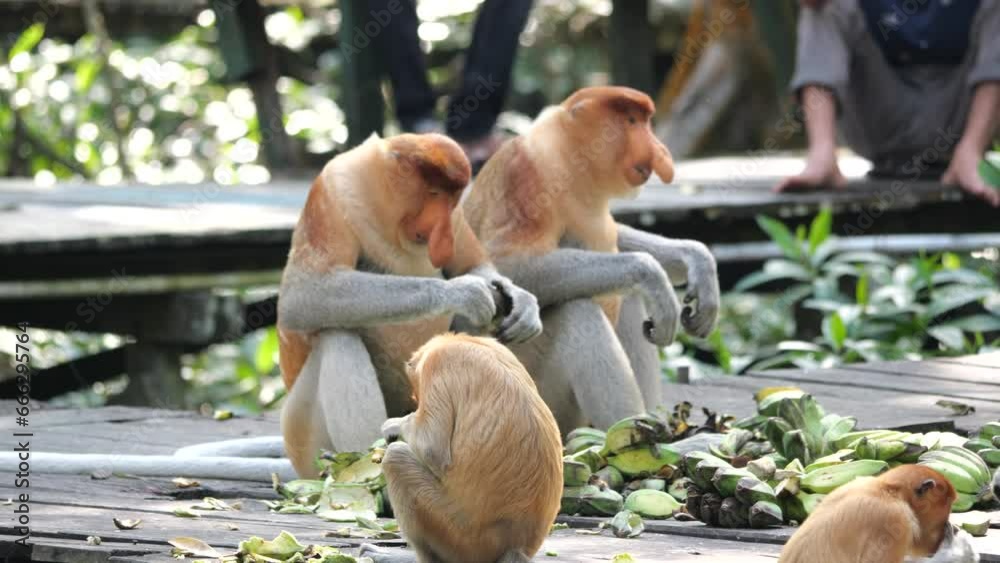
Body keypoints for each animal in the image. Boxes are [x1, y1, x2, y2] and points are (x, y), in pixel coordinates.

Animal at [277, 133, 542, 477]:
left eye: (452, 201)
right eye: (433, 193)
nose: (442, 238)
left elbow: (472, 264)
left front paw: (521, 302)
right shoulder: (334, 193)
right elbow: (301, 295)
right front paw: (464, 292)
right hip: (301, 435)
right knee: (338, 337)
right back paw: (366, 463)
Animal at [359, 333, 563, 563]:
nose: (415, 400)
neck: (467, 341)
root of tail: (515, 546)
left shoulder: (437, 364)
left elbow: (431, 449)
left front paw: (393, 426)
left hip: (459, 535)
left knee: (396, 458)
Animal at [460, 86, 720, 432]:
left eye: (644, 122)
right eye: (631, 121)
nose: (661, 151)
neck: (570, 159)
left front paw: (699, 262)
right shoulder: (527, 179)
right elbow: (507, 265)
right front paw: (653, 277)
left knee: (626, 298)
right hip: (530, 394)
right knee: (579, 311)